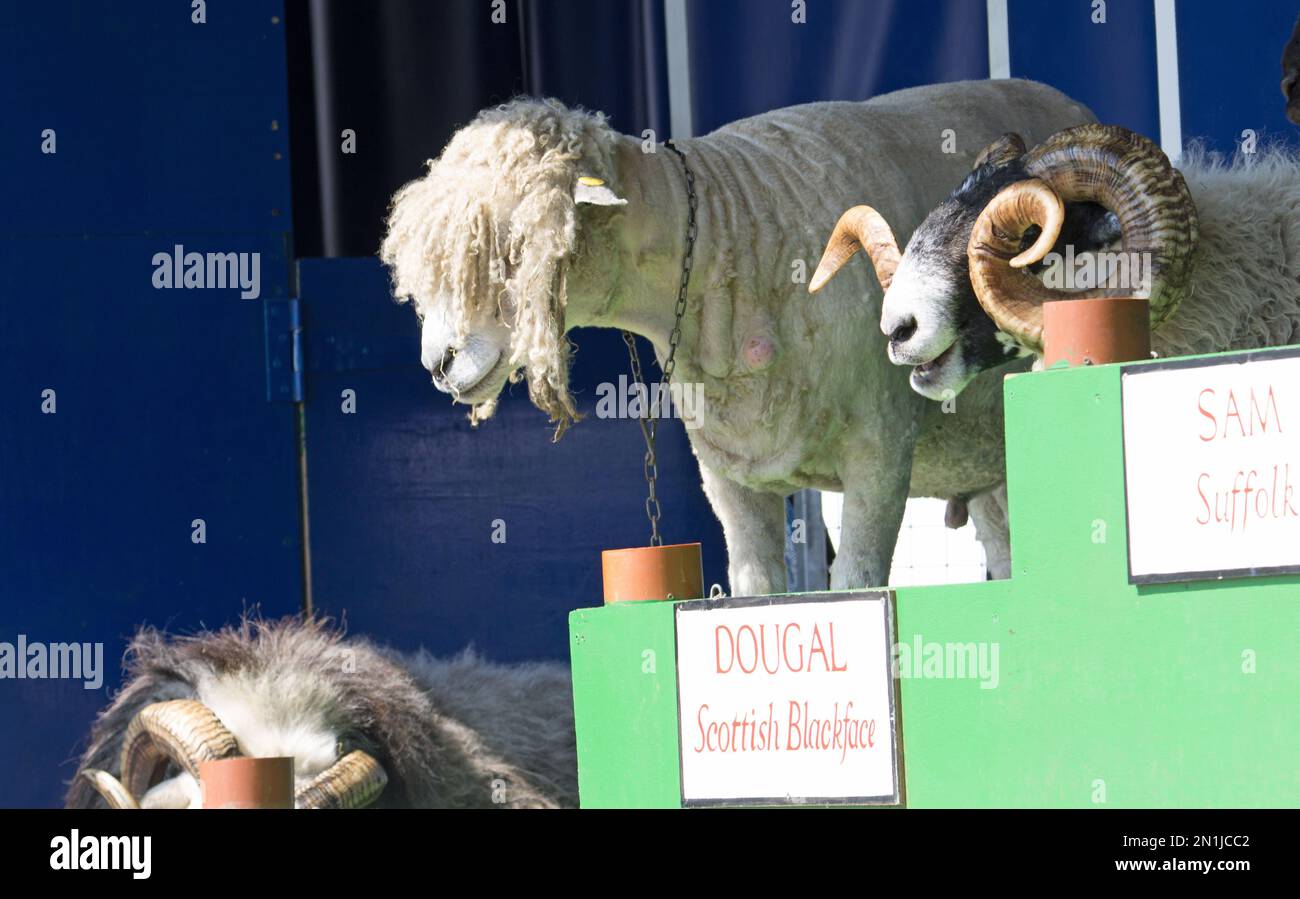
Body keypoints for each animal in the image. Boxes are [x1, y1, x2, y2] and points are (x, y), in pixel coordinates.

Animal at [379, 80, 1098, 592]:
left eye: (509, 250)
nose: (438, 362)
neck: (728, 229)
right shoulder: (728, 475)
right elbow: (754, 587)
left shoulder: (882, 446)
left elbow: (857, 583)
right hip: (984, 455)